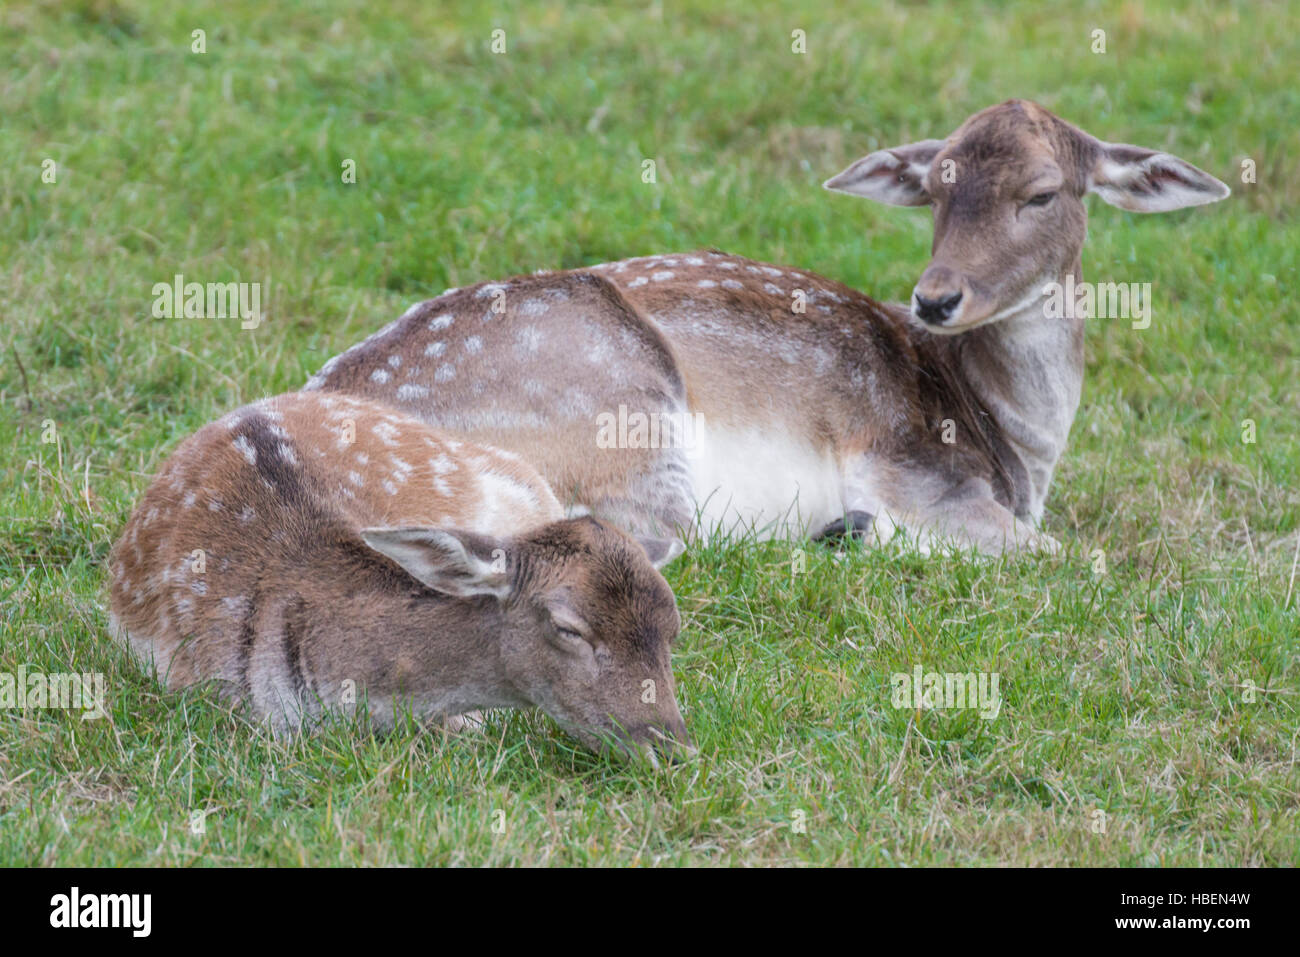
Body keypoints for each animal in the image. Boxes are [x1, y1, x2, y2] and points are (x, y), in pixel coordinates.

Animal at [304, 100, 1230, 554]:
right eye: (935, 185)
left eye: (1042, 193)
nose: (935, 298)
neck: (1016, 446)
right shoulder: (913, 466)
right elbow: (1077, 558)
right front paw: (864, 529)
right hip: (624, 406)